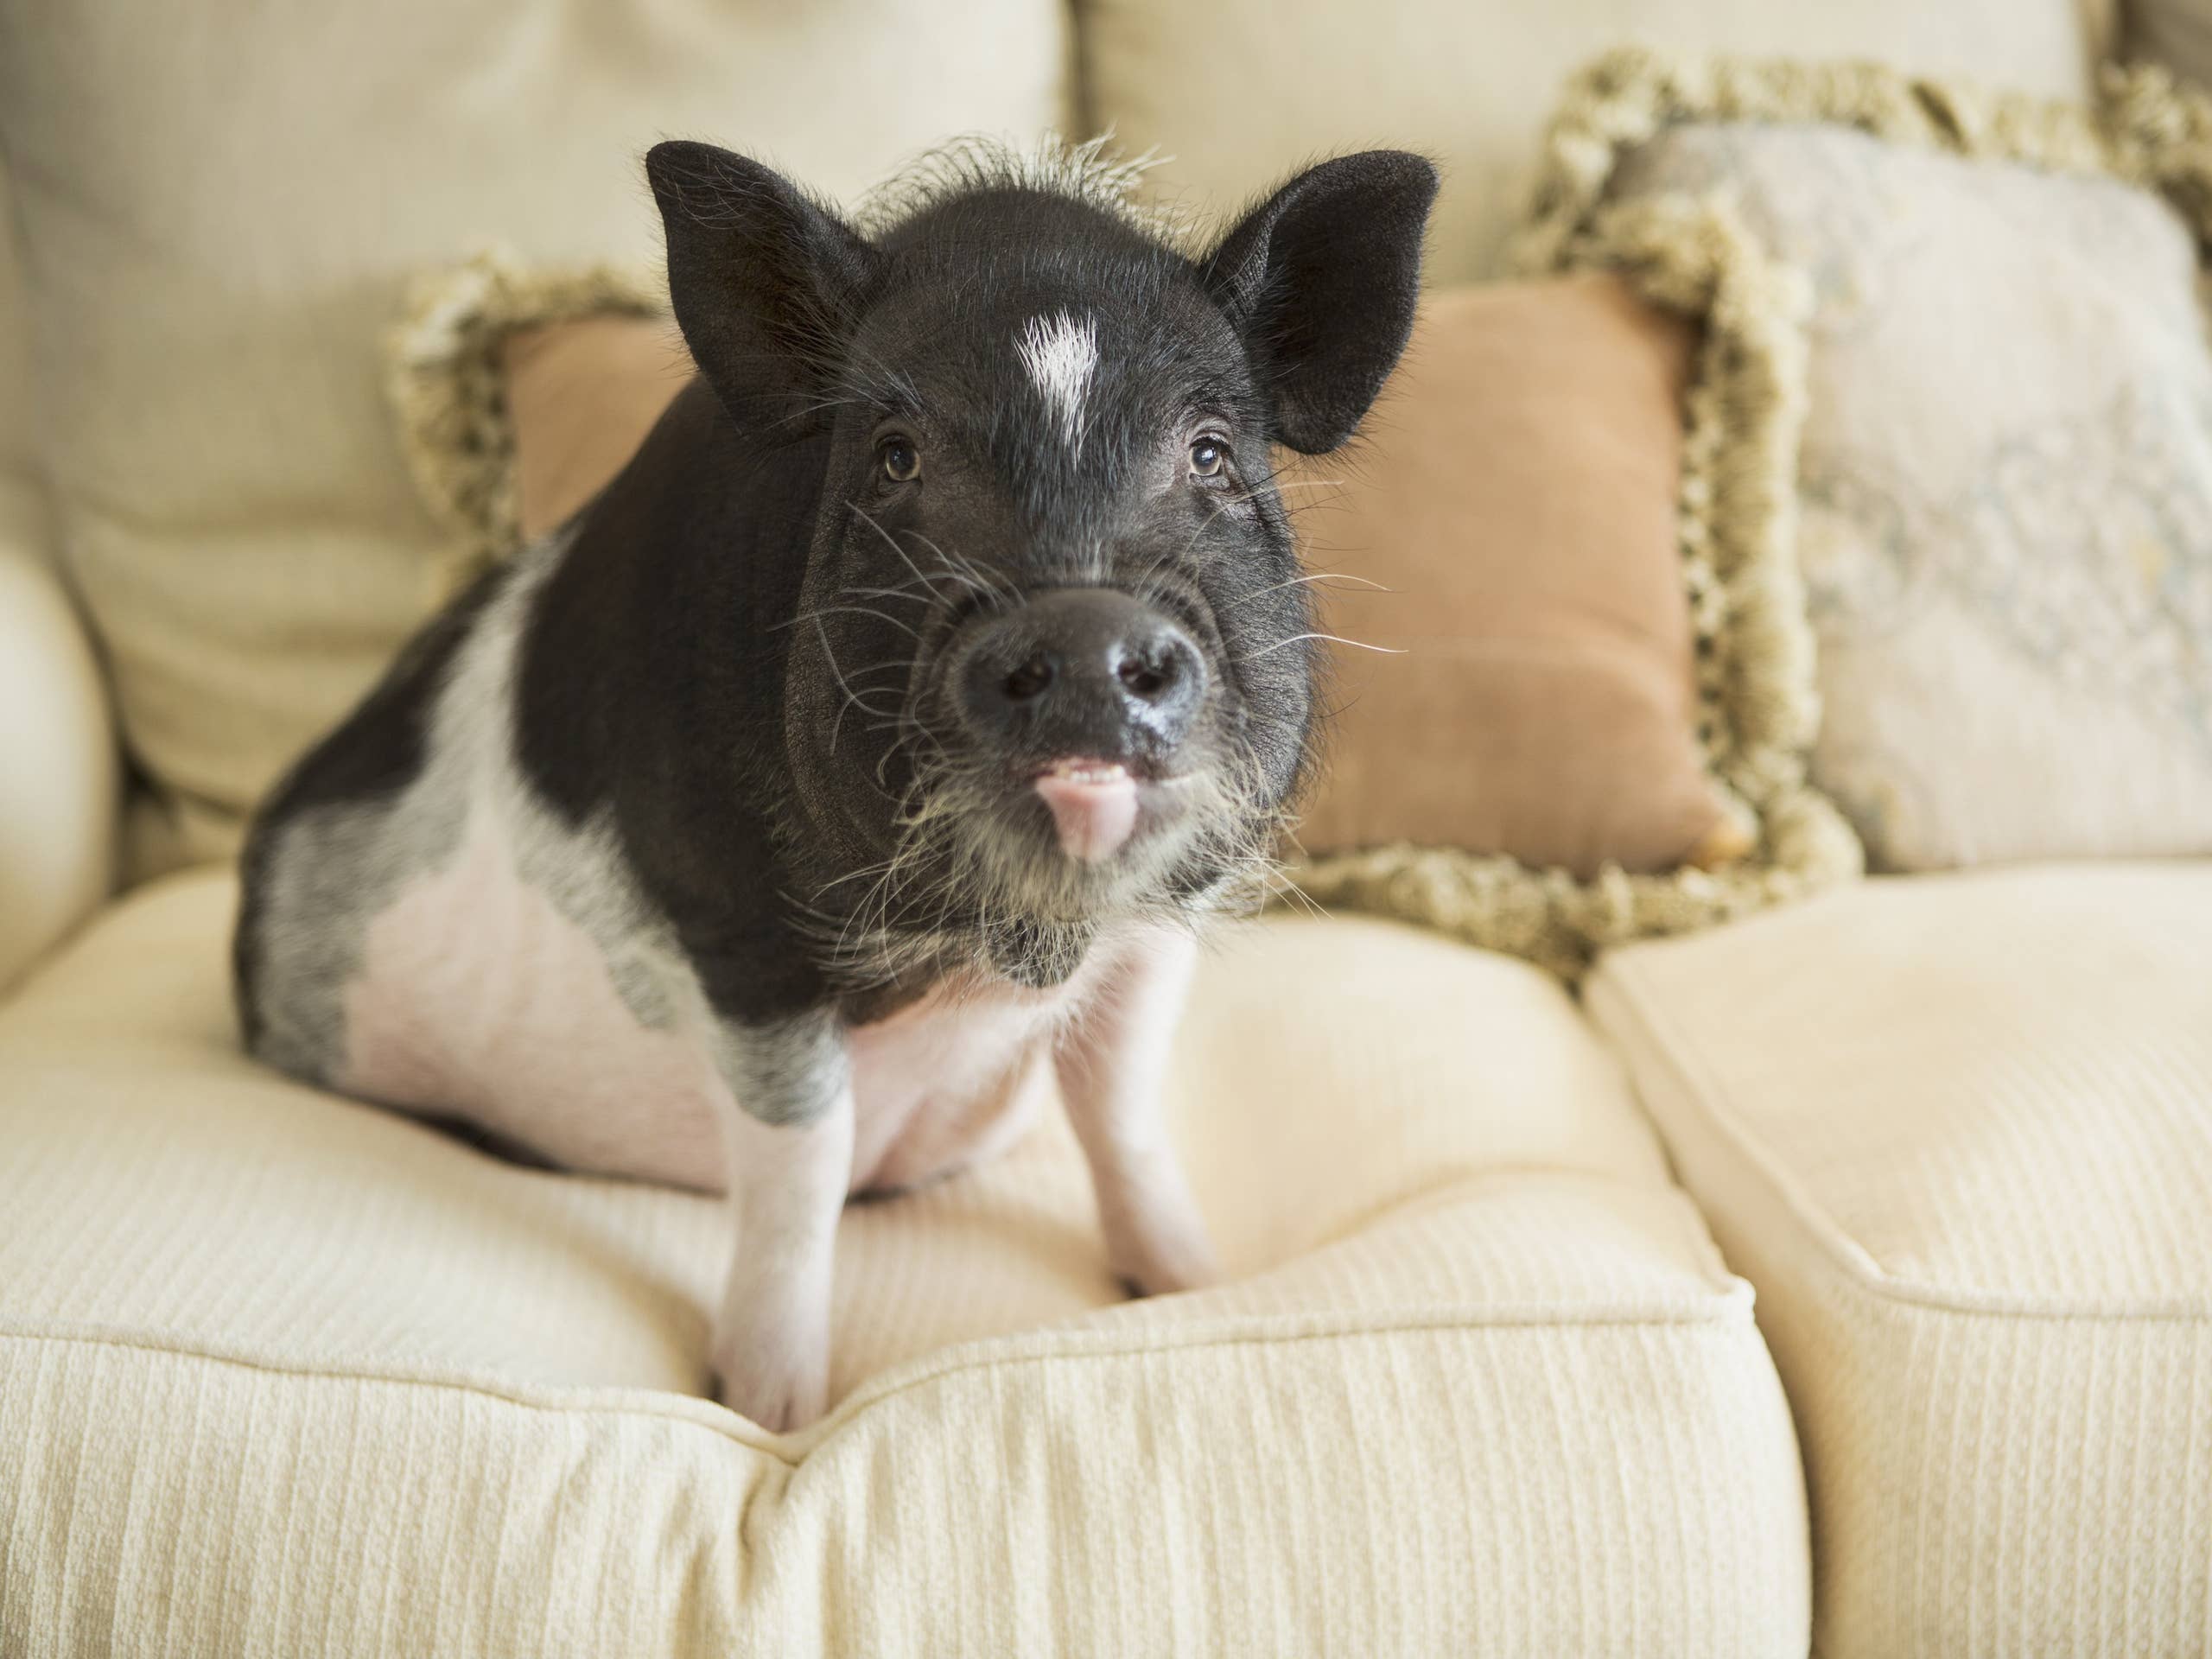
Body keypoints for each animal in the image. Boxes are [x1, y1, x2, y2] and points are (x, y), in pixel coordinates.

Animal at [233, 137, 1436, 1430]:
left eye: (1210, 451)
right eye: (894, 457)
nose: (1082, 628)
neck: (999, 953)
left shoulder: (1166, 917)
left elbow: (1121, 1110)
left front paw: (1199, 1284)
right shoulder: (736, 930)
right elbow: (801, 1165)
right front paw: (772, 1412)